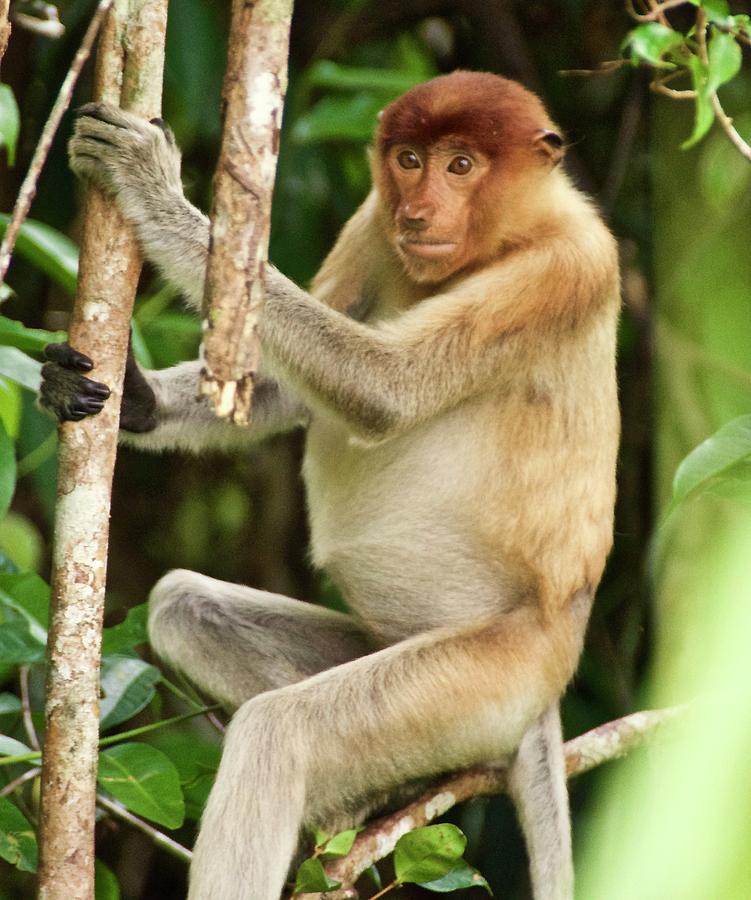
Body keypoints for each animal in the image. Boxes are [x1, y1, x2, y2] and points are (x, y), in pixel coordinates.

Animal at [41, 71, 620, 900]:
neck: (510, 235)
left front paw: (148, 179)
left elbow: (383, 390)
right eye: (409, 160)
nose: (418, 213)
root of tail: (550, 676)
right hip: (385, 650)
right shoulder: (374, 222)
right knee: (183, 607)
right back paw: (380, 795)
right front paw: (121, 396)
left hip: (482, 680)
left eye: (461, 166)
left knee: (280, 732)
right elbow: (283, 391)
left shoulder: (563, 270)